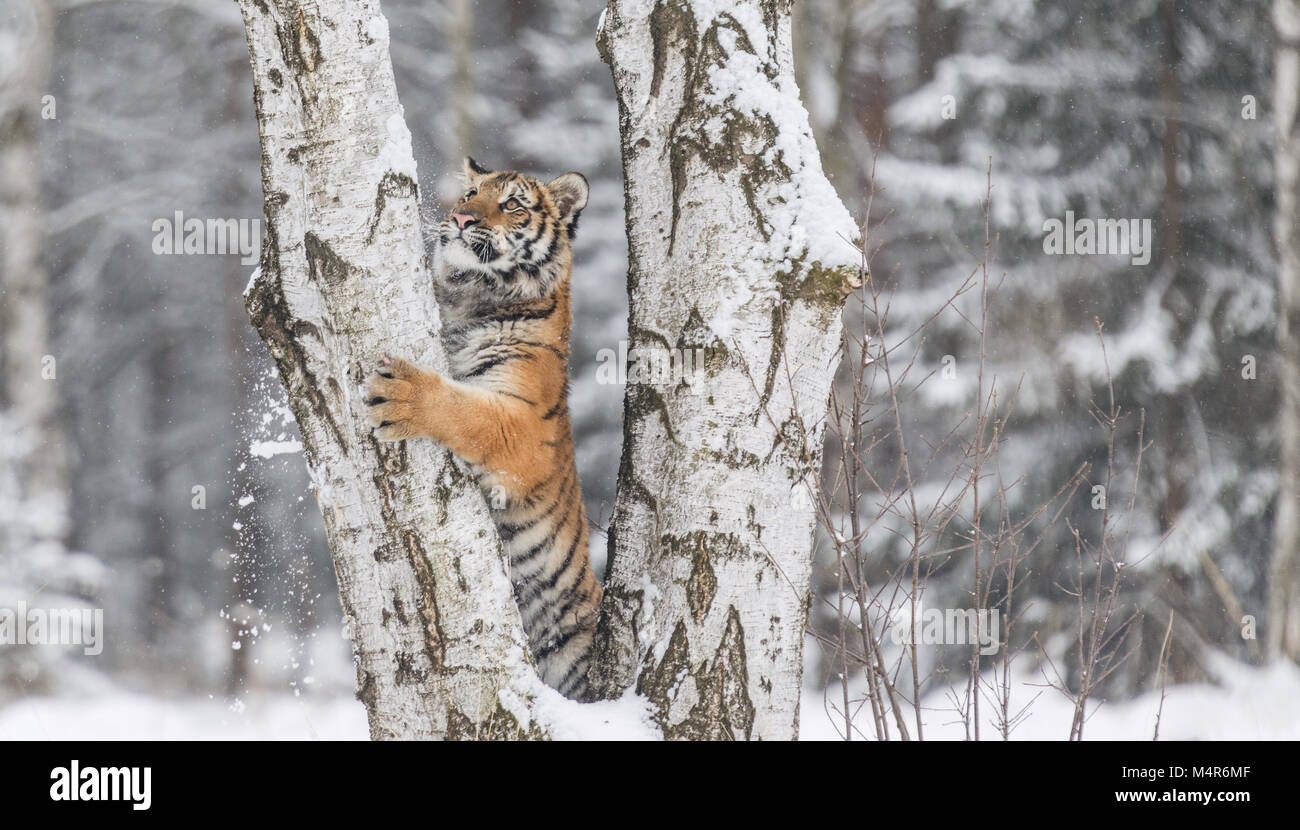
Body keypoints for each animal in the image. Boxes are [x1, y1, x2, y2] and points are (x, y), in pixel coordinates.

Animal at [364, 156, 602, 700]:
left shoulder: (522, 427)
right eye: (471, 193)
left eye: (512, 204)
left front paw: (404, 393)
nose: (460, 218)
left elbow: (468, 411)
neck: (470, 300)